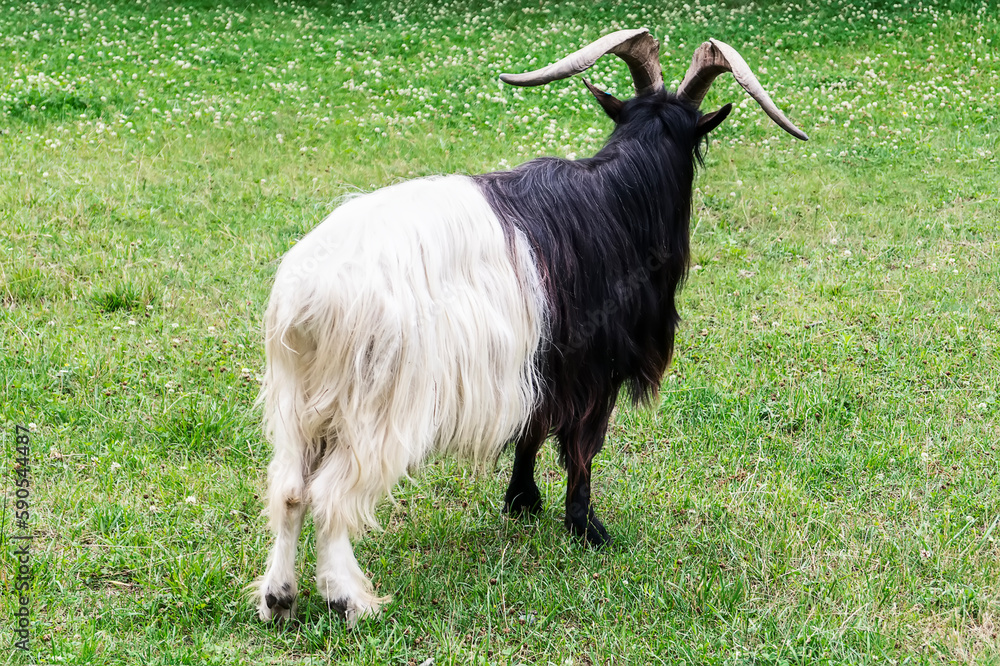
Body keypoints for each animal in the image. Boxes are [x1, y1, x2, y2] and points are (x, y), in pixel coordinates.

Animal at [255, 29, 807, 626]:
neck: (620, 200)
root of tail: (309, 299)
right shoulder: (594, 367)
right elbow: (583, 447)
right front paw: (586, 528)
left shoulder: (539, 362)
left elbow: (531, 429)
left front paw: (522, 502)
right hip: (379, 403)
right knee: (331, 494)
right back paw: (349, 599)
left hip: (298, 399)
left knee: (289, 489)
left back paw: (278, 597)